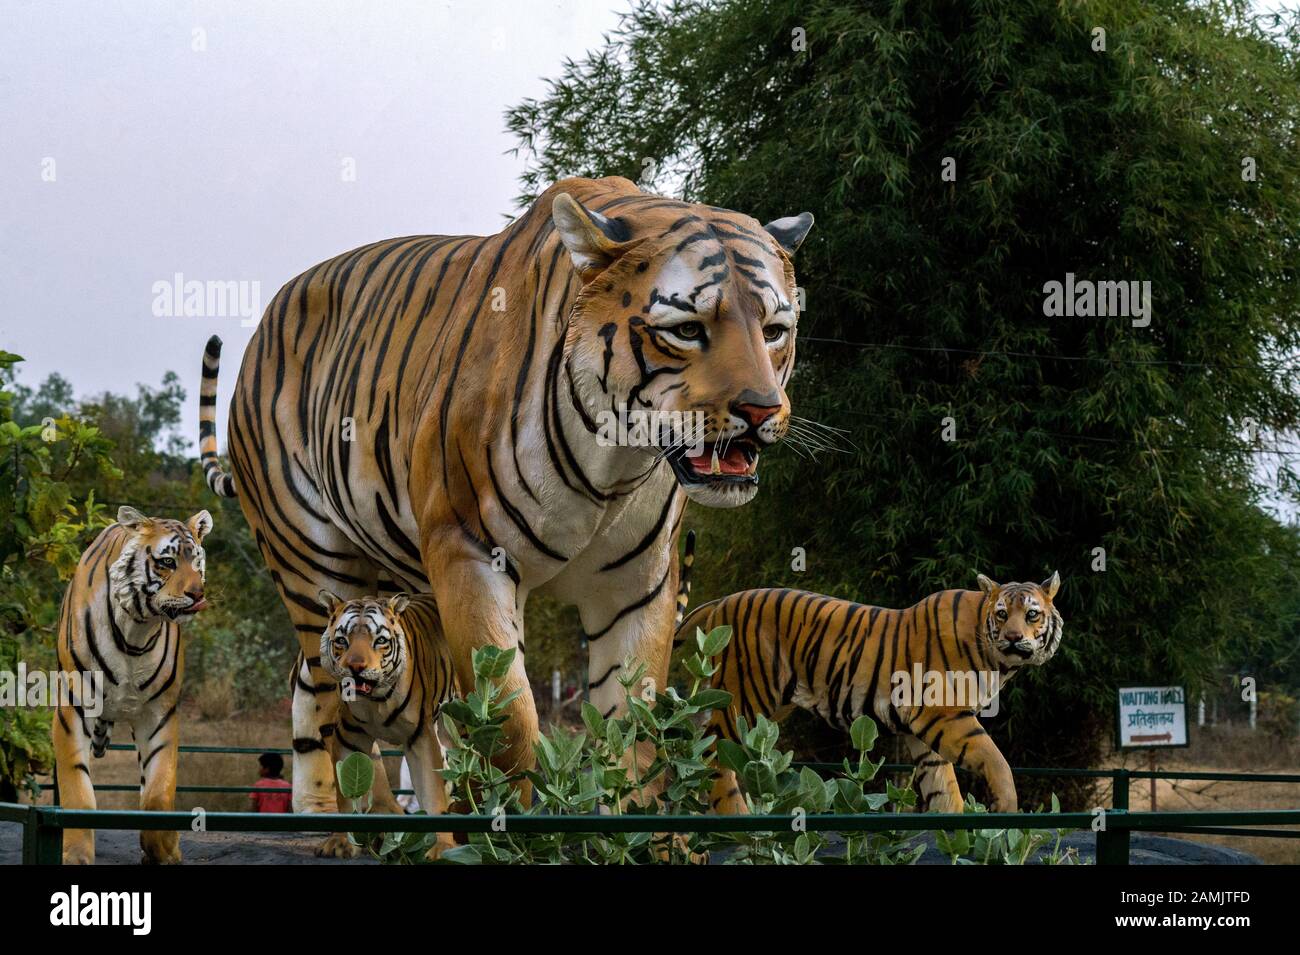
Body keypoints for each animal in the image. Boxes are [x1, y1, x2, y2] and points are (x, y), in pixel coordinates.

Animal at [52, 505, 212, 864]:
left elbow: (157, 794)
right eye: (167, 562)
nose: (197, 595)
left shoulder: (158, 715)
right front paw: (77, 855)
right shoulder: (73, 711)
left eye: (197, 562)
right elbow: (77, 792)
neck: (136, 632)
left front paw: (165, 849)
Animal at [196, 175, 814, 819]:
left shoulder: (639, 582)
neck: (614, 458)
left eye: (774, 330)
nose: (761, 410)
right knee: (335, 709)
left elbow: (633, 729)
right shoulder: (470, 554)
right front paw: (515, 823)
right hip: (314, 562)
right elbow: (509, 722)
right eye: (689, 329)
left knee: (311, 692)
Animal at [309, 590, 457, 860]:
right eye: (342, 641)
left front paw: (441, 848)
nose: (356, 668)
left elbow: (432, 791)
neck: (376, 700)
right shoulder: (349, 736)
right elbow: (345, 795)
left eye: (379, 641)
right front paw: (340, 842)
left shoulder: (421, 737)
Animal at [676, 573, 1063, 815]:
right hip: (743, 696)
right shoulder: (943, 713)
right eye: (1002, 614)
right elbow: (995, 759)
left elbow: (941, 784)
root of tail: (720, 601)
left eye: (1032, 614)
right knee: (712, 755)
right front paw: (1006, 809)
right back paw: (736, 818)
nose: (1013, 637)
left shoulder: (924, 729)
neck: (997, 659)